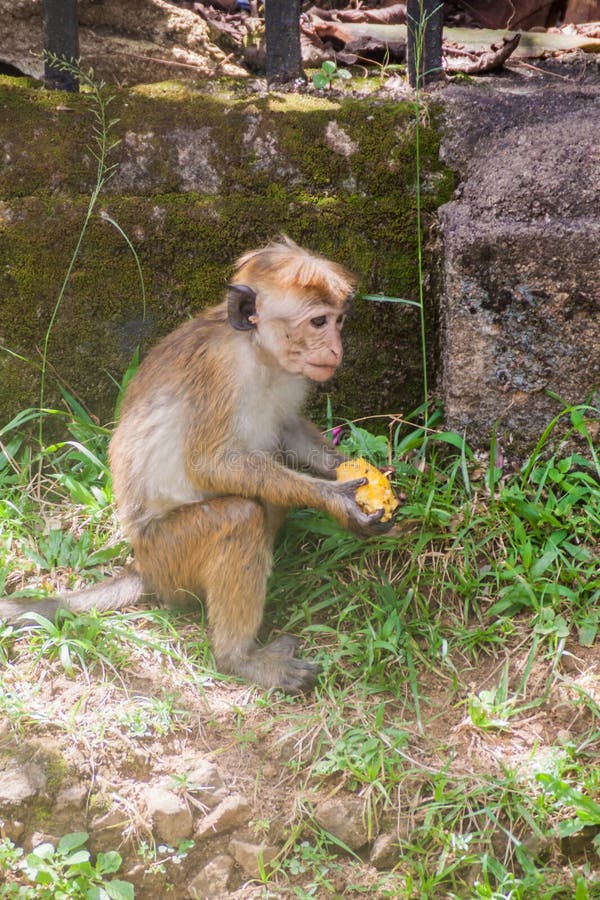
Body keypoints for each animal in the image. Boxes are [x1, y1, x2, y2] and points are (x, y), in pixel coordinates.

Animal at [0, 238, 392, 692]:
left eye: (338, 320)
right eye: (317, 322)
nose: (335, 348)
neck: (256, 351)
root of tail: (144, 565)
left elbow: (287, 431)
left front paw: (362, 476)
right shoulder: (220, 373)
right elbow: (210, 466)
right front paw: (335, 499)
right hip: (170, 551)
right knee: (240, 515)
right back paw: (238, 658)